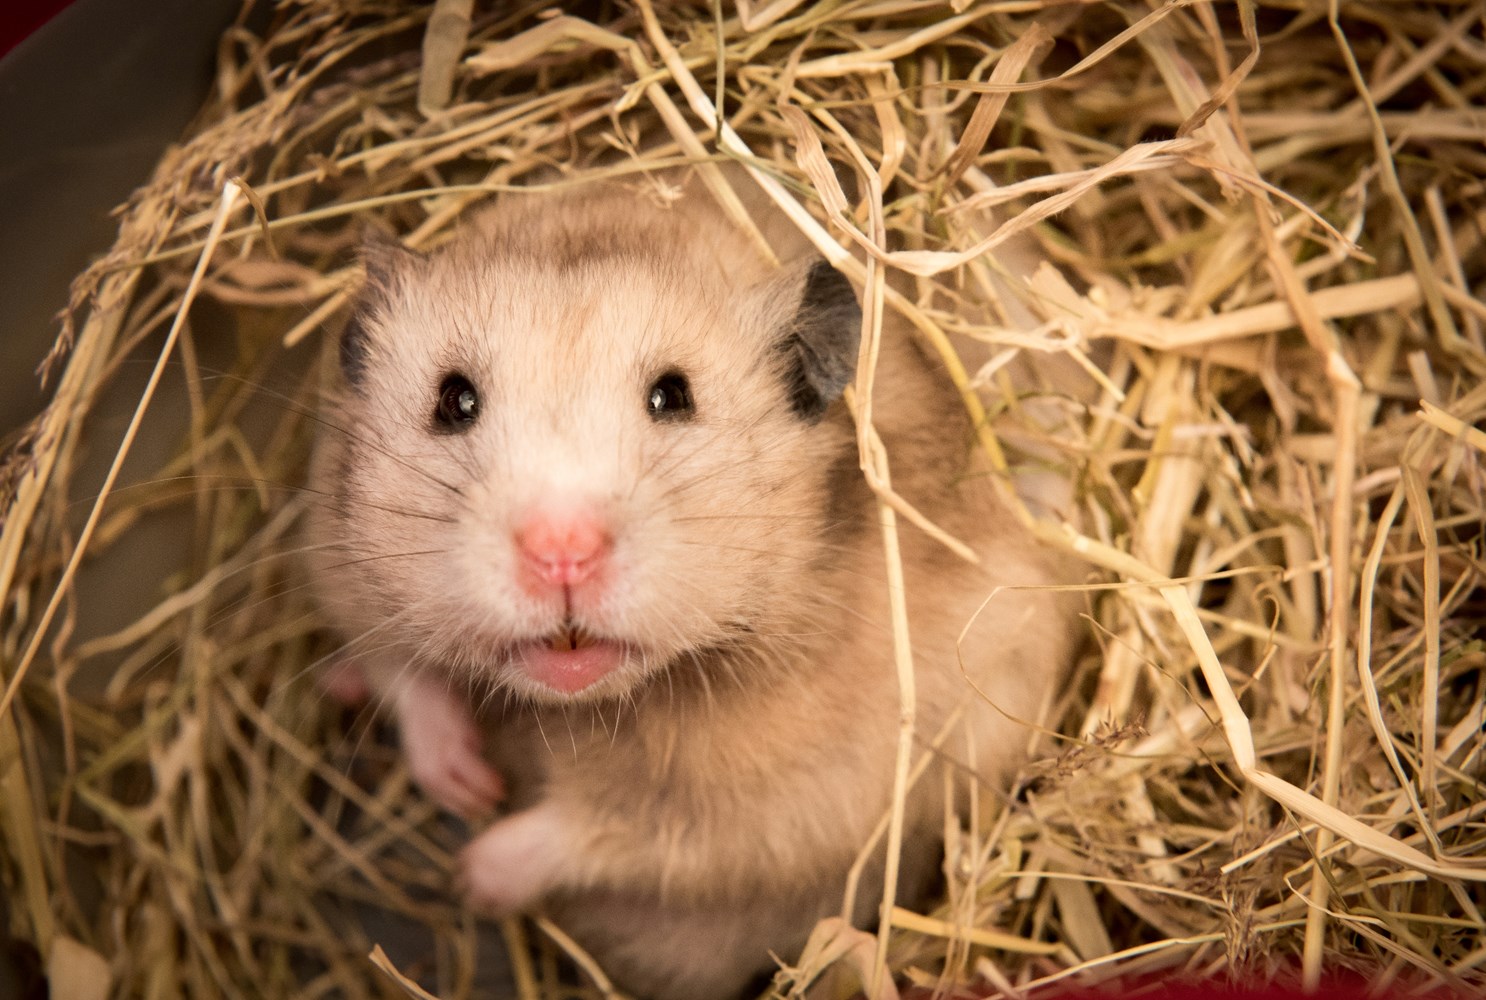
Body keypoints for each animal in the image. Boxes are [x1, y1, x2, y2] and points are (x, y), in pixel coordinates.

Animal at [306, 181, 1082, 1000]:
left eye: (673, 396)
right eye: (454, 400)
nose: (561, 551)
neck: (588, 708)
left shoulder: (797, 803)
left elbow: (616, 829)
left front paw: (475, 871)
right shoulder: (337, 565)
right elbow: (406, 673)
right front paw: (465, 787)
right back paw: (341, 687)